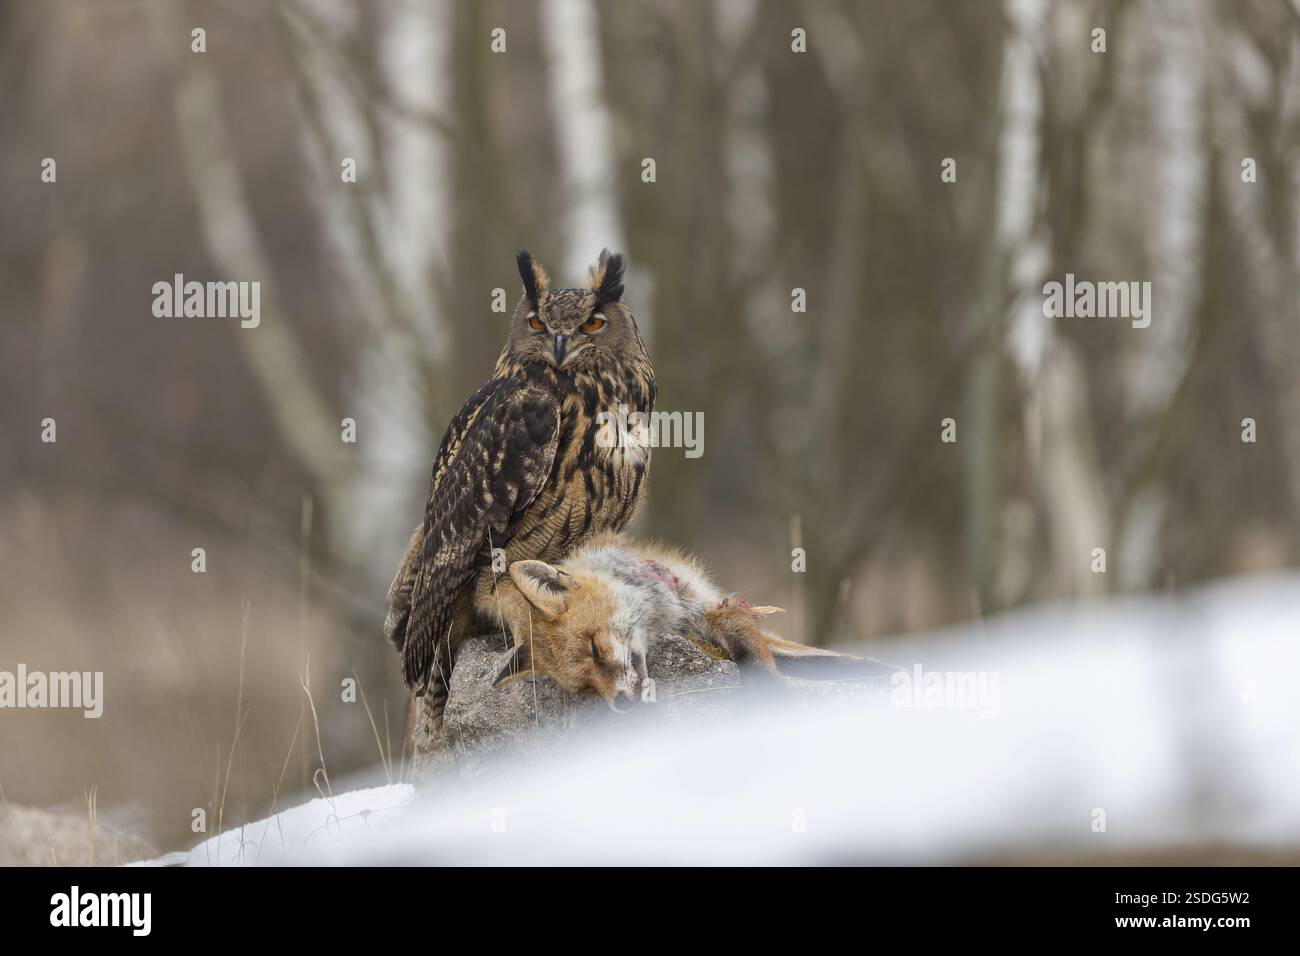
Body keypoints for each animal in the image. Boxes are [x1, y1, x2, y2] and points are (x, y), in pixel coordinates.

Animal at [477, 532, 867, 710]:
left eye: (595, 648)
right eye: (586, 687)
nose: (621, 704)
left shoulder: (711, 611)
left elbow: (749, 653)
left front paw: (769, 690)